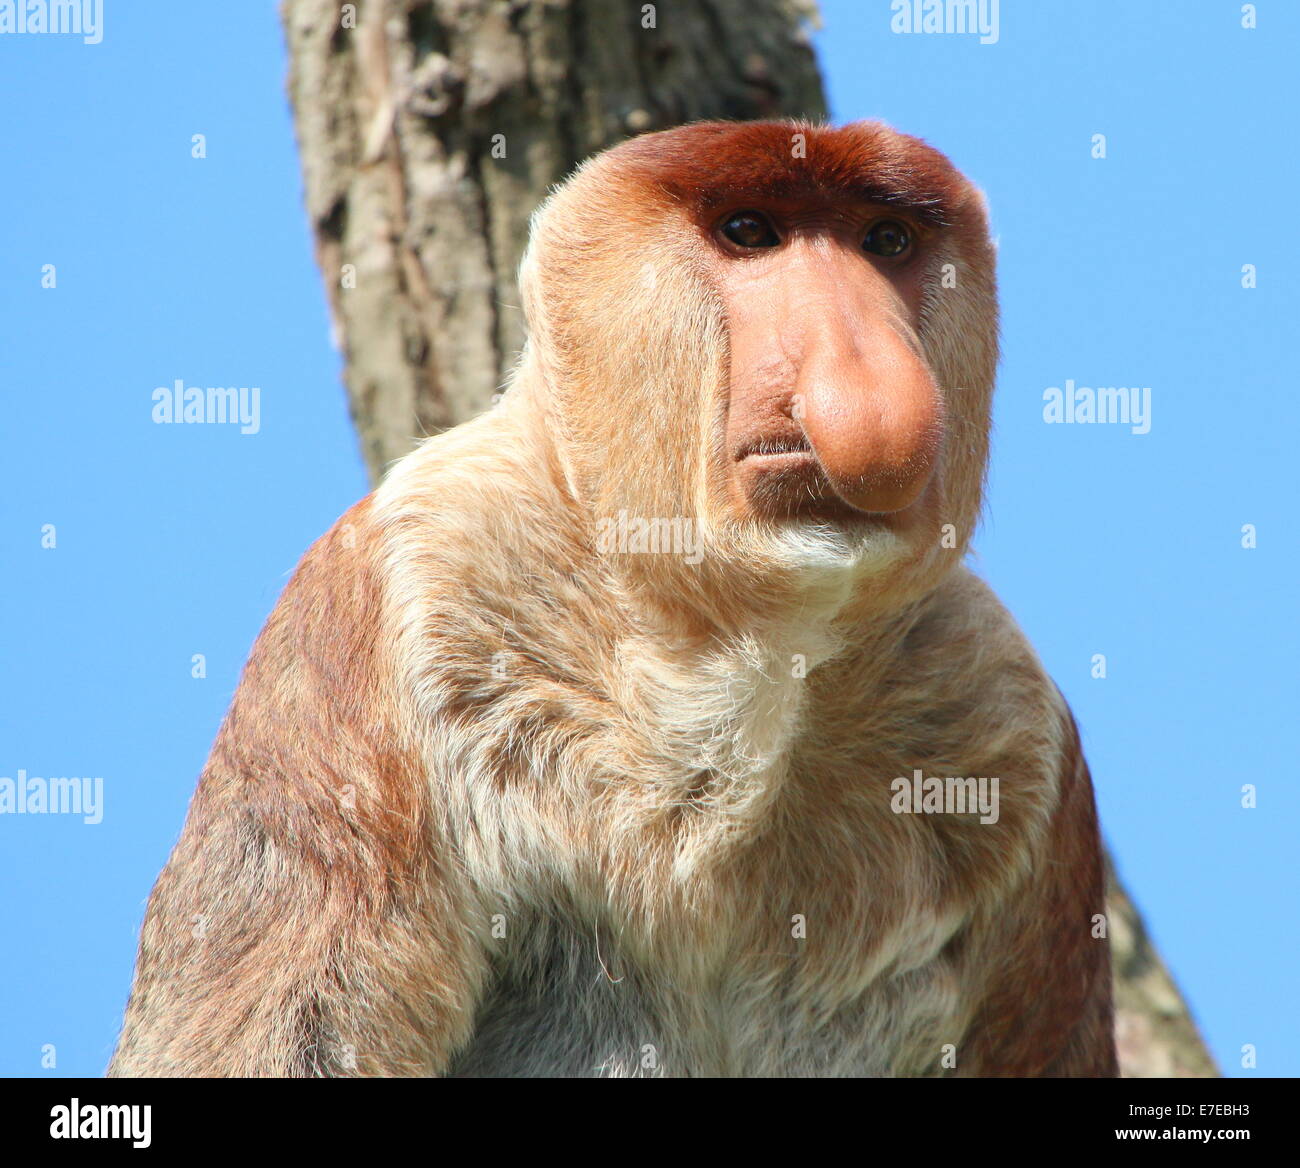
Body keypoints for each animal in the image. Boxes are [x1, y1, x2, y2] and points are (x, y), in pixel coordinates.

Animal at [109, 120, 1117, 1078]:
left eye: (886, 240)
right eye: (749, 232)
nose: (859, 363)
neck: (738, 649)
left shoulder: (1009, 718)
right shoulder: (387, 595)